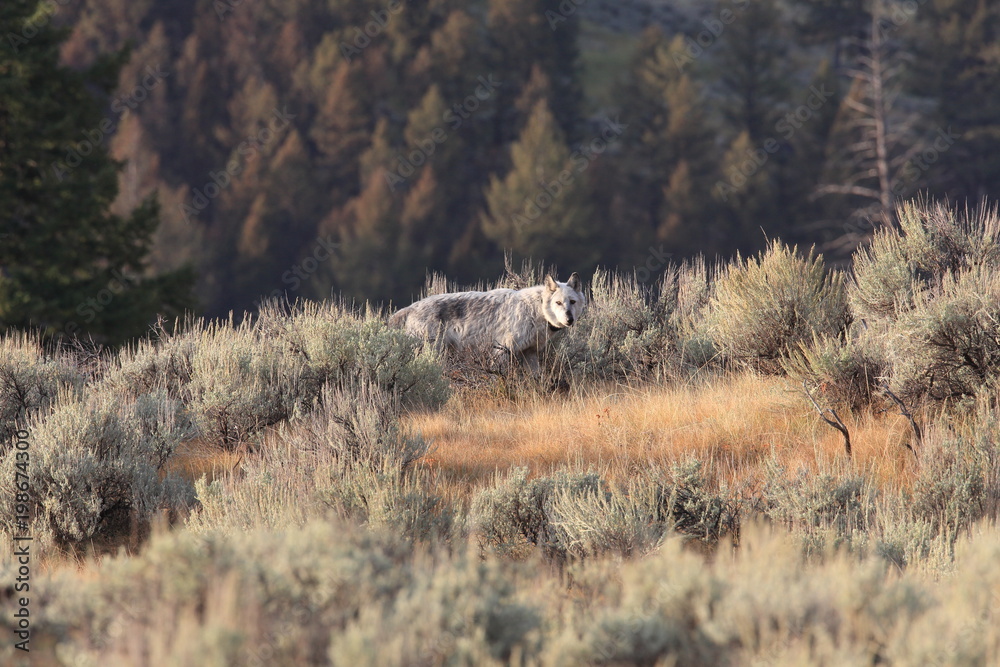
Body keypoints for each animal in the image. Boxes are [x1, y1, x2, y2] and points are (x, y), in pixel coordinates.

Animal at [389, 273, 586, 375]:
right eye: (558, 303)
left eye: (572, 302)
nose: (569, 319)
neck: (535, 310)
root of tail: (410, 307)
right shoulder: (500, 351)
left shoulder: (529, 353)